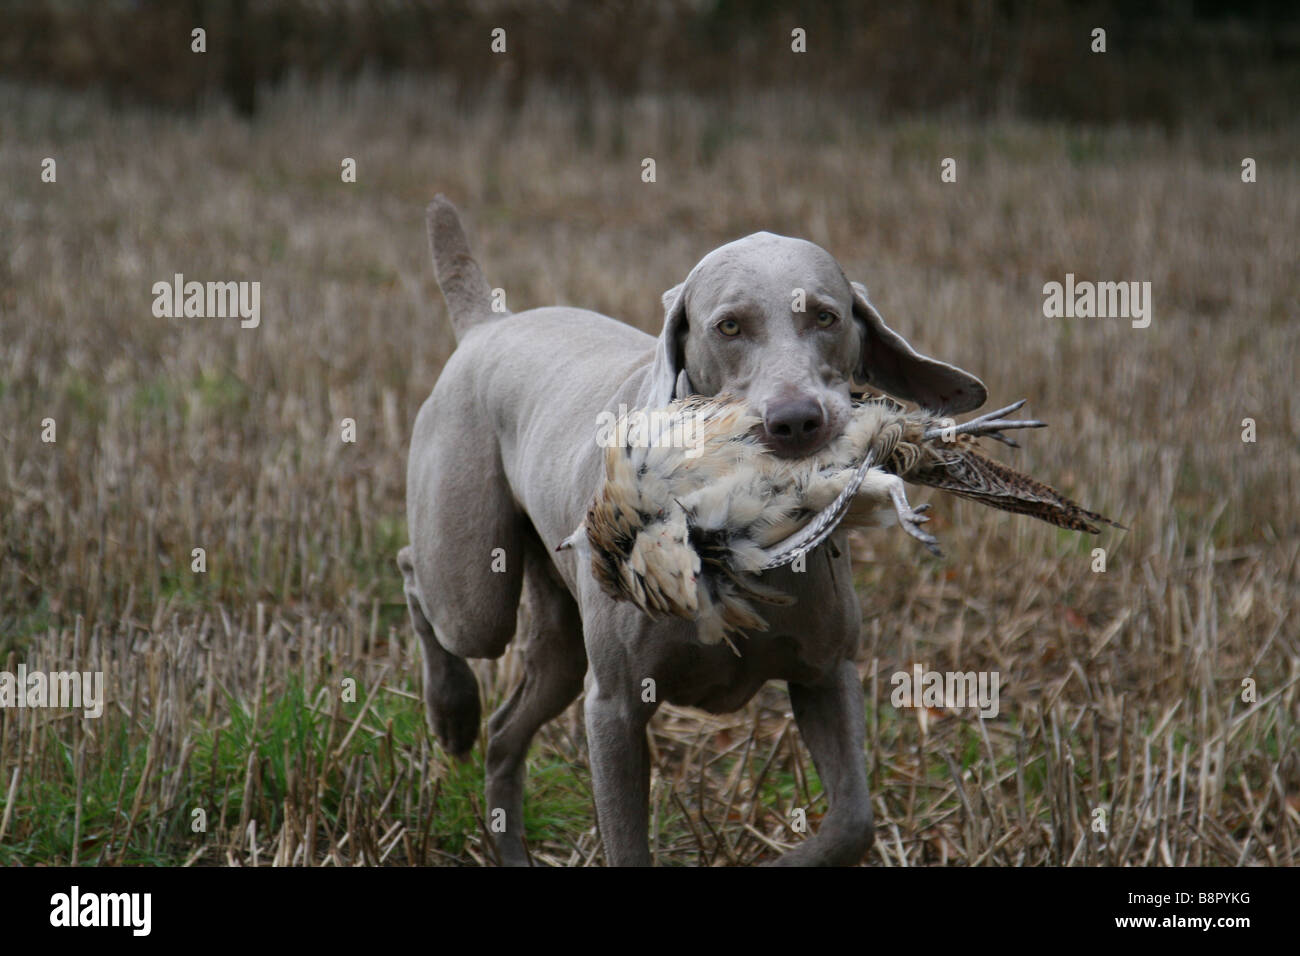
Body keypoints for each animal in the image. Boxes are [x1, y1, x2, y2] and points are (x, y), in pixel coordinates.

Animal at [395, 195, 982, 868]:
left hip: (560, 642)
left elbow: (854, 822)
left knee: (505, 732)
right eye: (728, 327)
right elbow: (626, 842)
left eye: (826, 317)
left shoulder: (827, 673)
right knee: (420, 577)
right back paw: (451, 711)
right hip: (475, 591)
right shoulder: (614, 708)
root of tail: (486, 325)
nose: (795, 422)